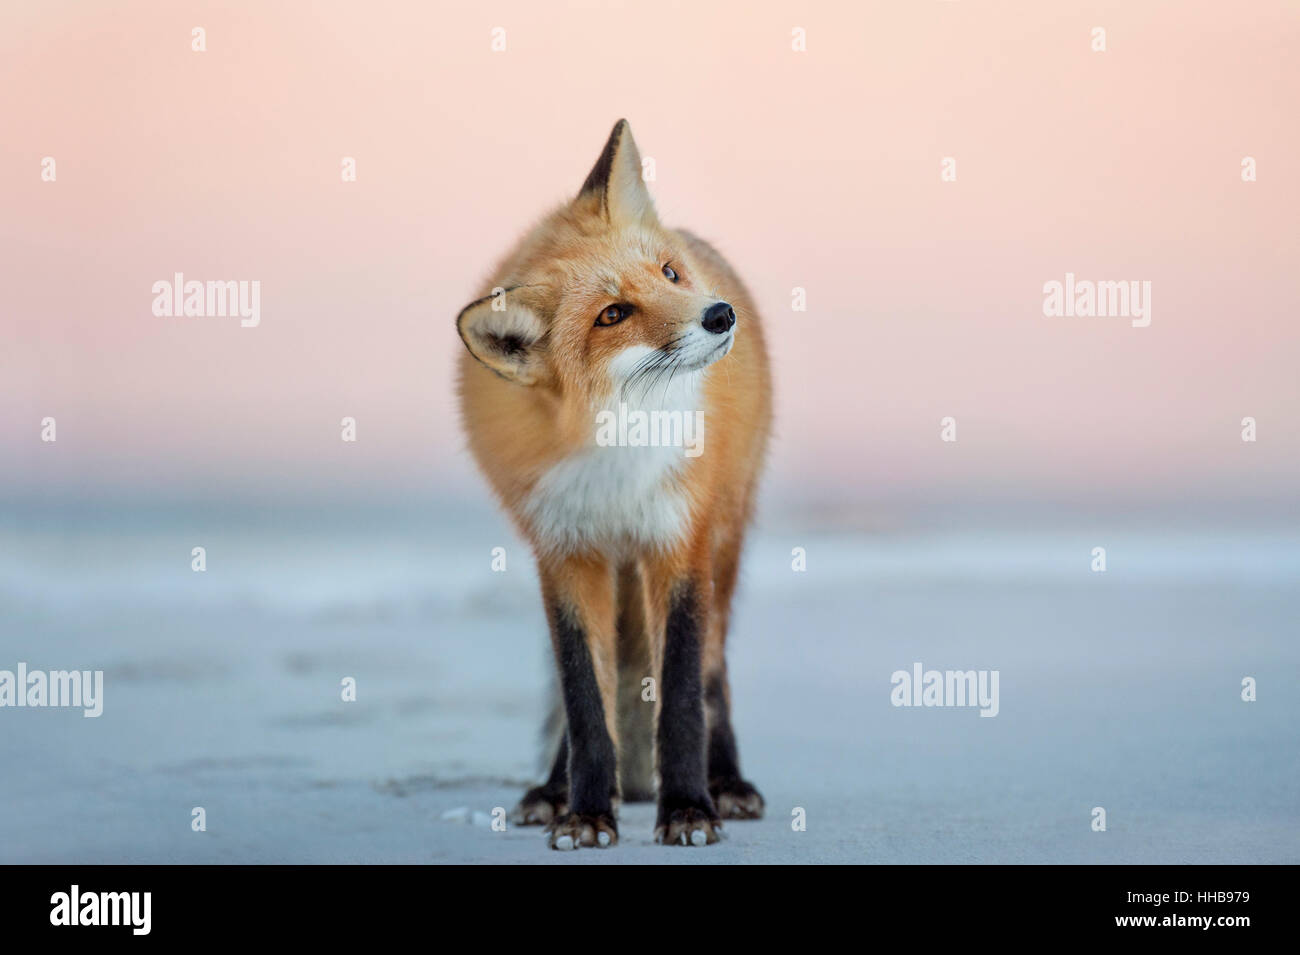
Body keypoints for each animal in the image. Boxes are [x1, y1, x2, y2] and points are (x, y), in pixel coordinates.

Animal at [455, 120, 772, 849]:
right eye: (613, 314)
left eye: (668, 274)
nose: (720, 316)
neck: (611, 453)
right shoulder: (565, 552)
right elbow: (582, 700)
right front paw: (585, 812)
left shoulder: (677, 541)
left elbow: (681, 694)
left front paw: (687, 808)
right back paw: (552, 789)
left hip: (725, 540)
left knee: (715, 675)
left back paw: (727, 781)